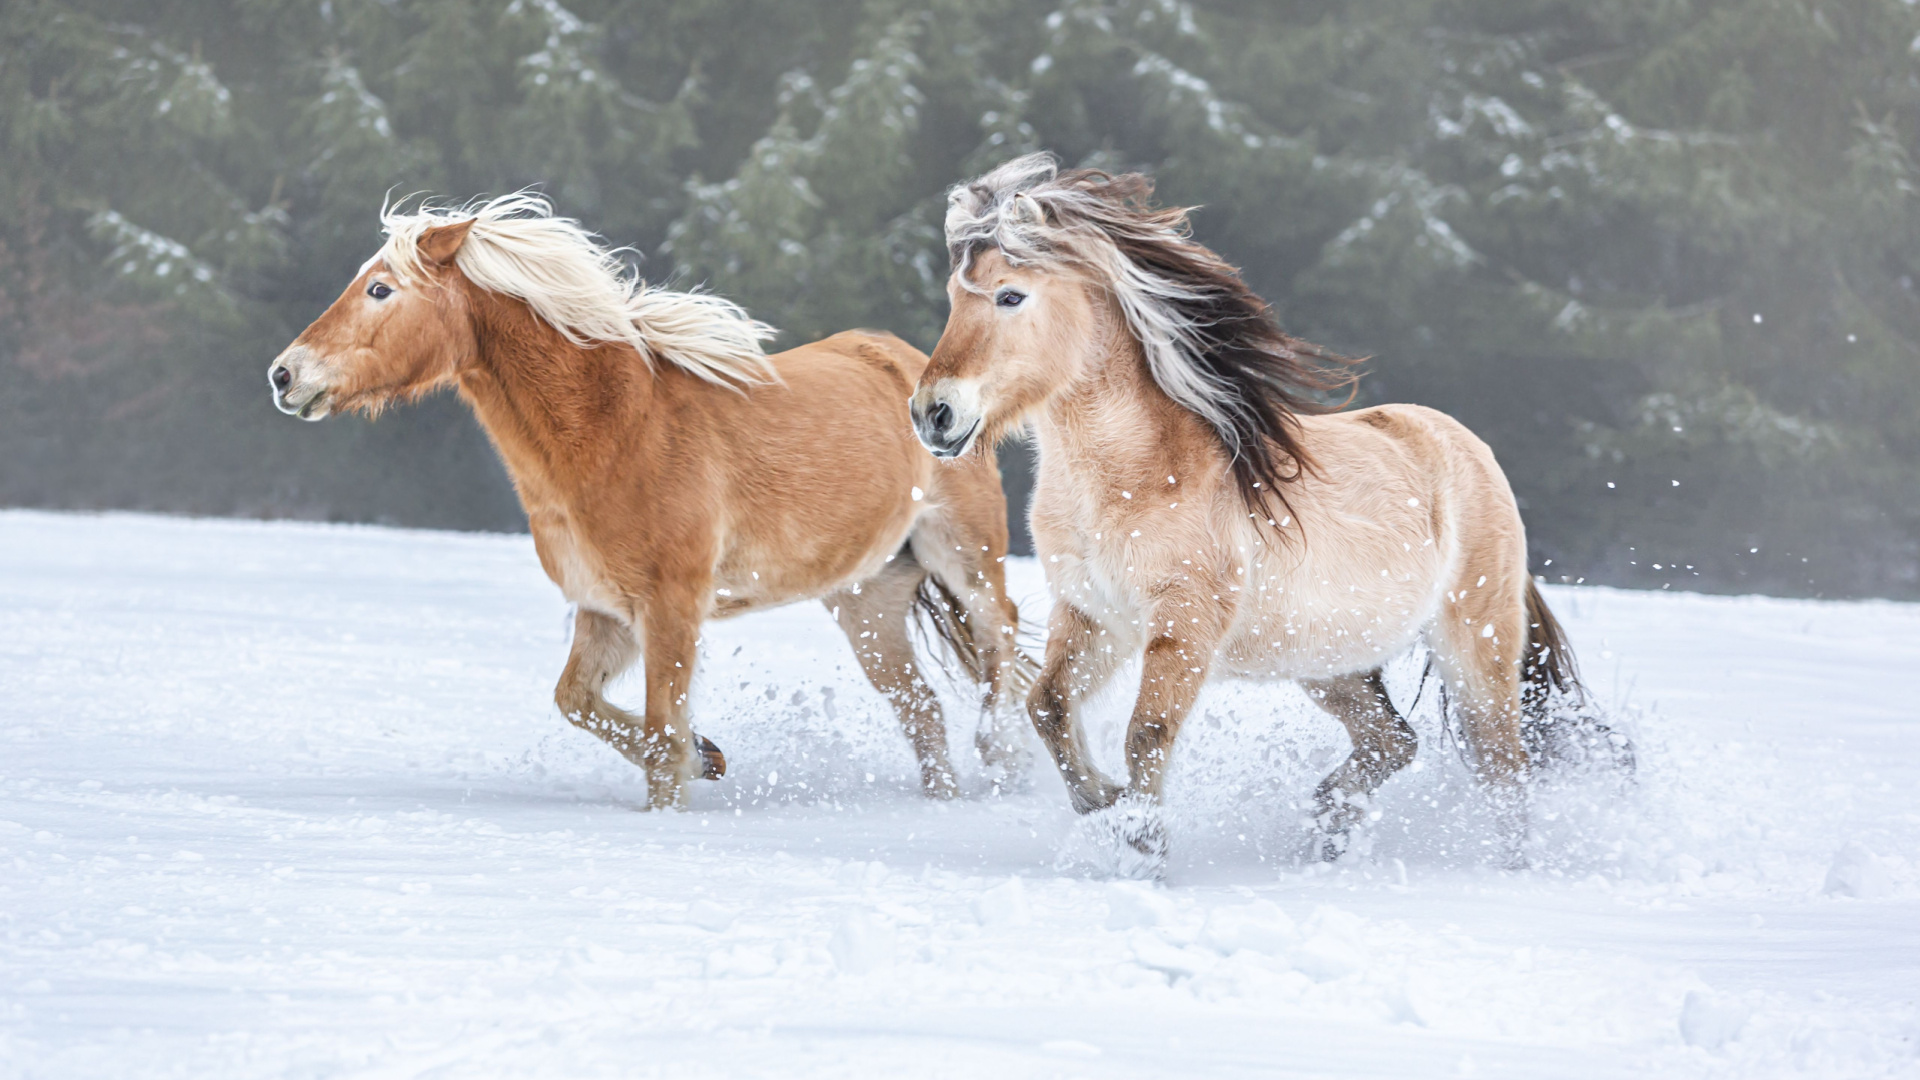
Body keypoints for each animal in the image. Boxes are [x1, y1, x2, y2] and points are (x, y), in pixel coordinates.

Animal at [268, 193, 1030, 810]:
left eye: (380, 288)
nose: (284, 374)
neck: (617, 430)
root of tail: (919, 374)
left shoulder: (672, 608)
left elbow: (663, 738)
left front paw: (672, 806)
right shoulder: (607, 611)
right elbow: (578, 702)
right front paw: (710, 757)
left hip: (965, 557)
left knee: (1001, 644)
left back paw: (1001, 762)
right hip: (867, 599)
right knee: (921, 709)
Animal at [908, 154, 1596, 873]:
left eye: (1011, 295)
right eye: (955, 297)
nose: (933, 414)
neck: (1133, 482)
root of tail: (1469, 450)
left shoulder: (1184, 623)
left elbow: (1147, 731)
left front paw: (1143, 845)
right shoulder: (1095, 614)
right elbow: (1046, 705)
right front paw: (1106, 802)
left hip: (1476, 648)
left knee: (1503, 768)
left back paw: (1503, 868)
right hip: (1328, 661)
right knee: (1394, 739)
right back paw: (1326, 827)